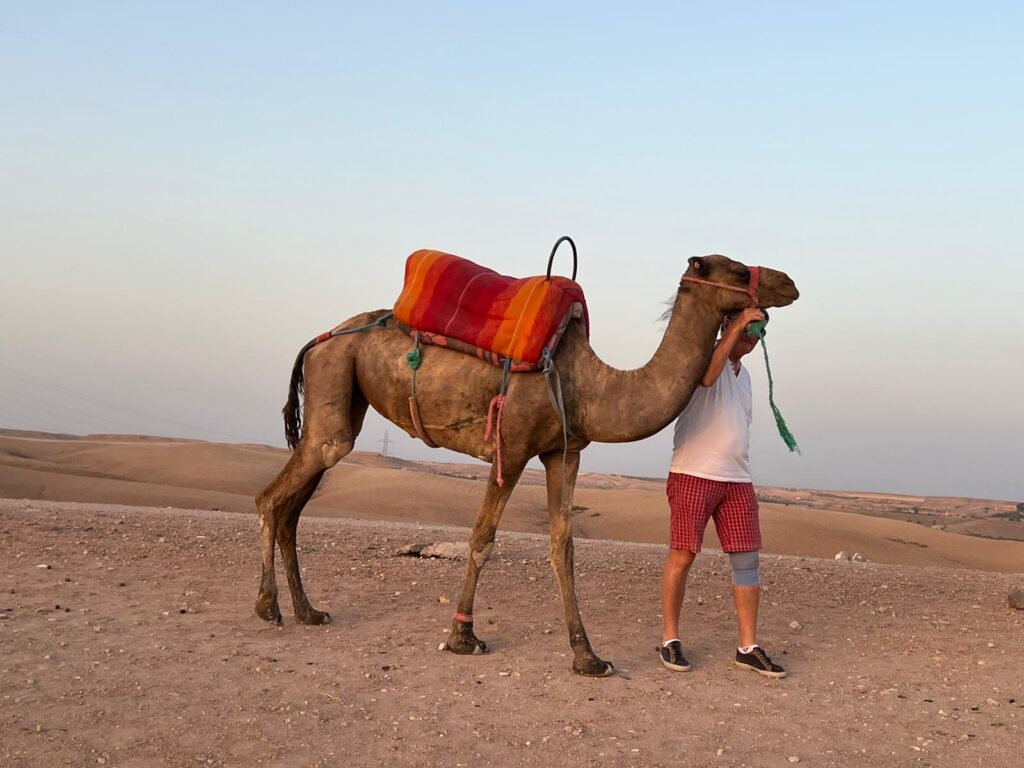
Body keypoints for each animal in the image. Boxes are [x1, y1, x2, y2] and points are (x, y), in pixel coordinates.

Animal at [254, 253, 799, 676]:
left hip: (345, 397)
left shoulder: (564, 451)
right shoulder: (511, 446)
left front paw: (588, 657)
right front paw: (463, 638)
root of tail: (320, 337)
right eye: (735, 269)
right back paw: (268, 608)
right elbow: (481, 537)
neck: (589, 383)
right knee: (274, 496)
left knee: (296, 503)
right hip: (334, 376)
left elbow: (563, 547)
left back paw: (308, 612)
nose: (789, 282)